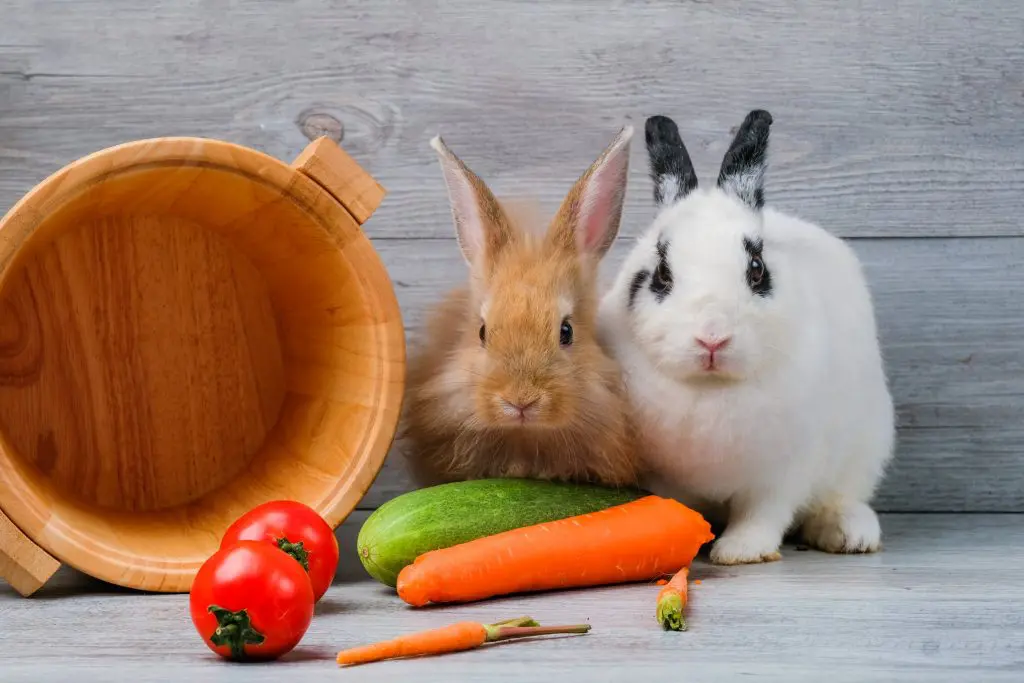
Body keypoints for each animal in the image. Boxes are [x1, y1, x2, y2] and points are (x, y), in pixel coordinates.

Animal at [597, 110, 896, 565]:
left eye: (757, 269)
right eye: (662, 273)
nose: (712, 339)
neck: (711, 388)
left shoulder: (783, 471)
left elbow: (763, 514)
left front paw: (740, 552)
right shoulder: (659, 475)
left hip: (866, 447)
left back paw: (850, 533)